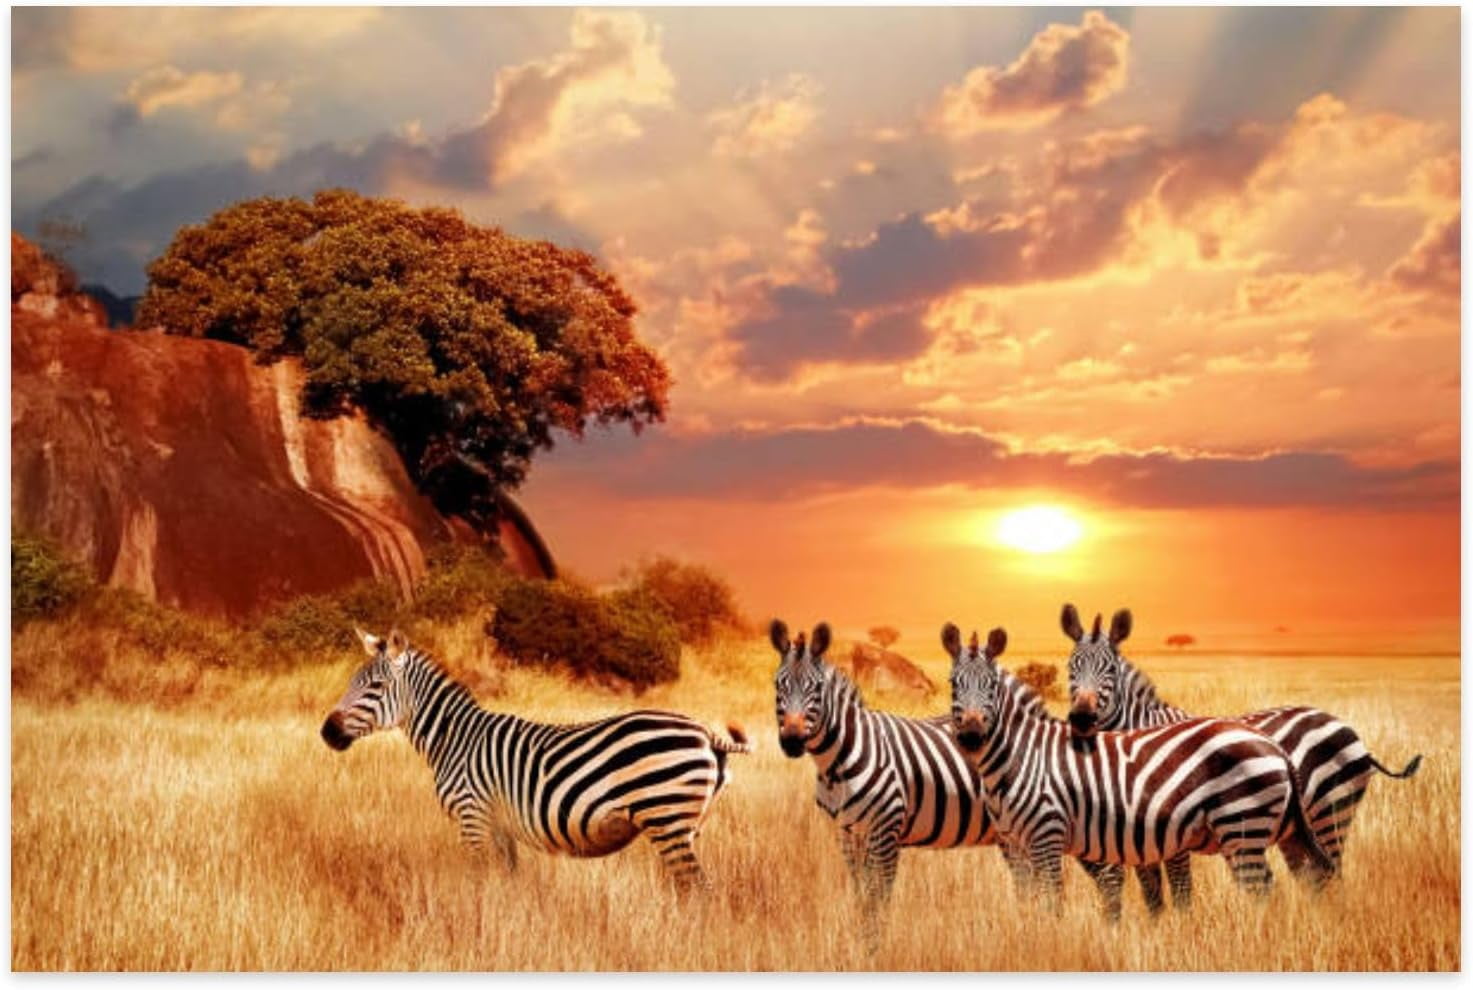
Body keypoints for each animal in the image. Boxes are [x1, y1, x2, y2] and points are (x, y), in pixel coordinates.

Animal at [320, 627, 752, 891]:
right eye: (352, 683)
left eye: (375, 686)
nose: (327, 732)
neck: (453, 739)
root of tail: (704, 731)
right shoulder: (498, 824)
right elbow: (510, 879)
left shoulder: (471, 817)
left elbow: (479, 879)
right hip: (688, 824)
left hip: (667, 818)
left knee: (700, 889)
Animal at [769, 619, 1125, 917]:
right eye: (777, 686)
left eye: (816, 689)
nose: (791, 742)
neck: (840, 760)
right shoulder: (846, 833)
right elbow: (862, 897)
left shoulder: (885, 829)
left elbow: (879, 899)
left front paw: (876, 947)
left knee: (1110, 877)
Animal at [943, 621, 1336, 916]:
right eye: (953, 684)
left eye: (992, 686)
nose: (972, 737)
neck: (1019, 757)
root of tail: (1273, 745)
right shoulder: (1017, 842)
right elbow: (1029, 901)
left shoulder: (1047, 835)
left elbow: (1053, 902)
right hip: (1279, 829)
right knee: (1302, 876)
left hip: (1242, 824)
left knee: (1260, 887)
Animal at [1061, 603, 1422, 912]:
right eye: (1071, 667)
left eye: (1110, 670)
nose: (1081, 718)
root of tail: (1346, 727)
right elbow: (1151, 892)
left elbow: (1179, 890)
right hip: (1295, 829)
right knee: (1312, 878)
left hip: (1329, 812)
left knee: (1332, 873)